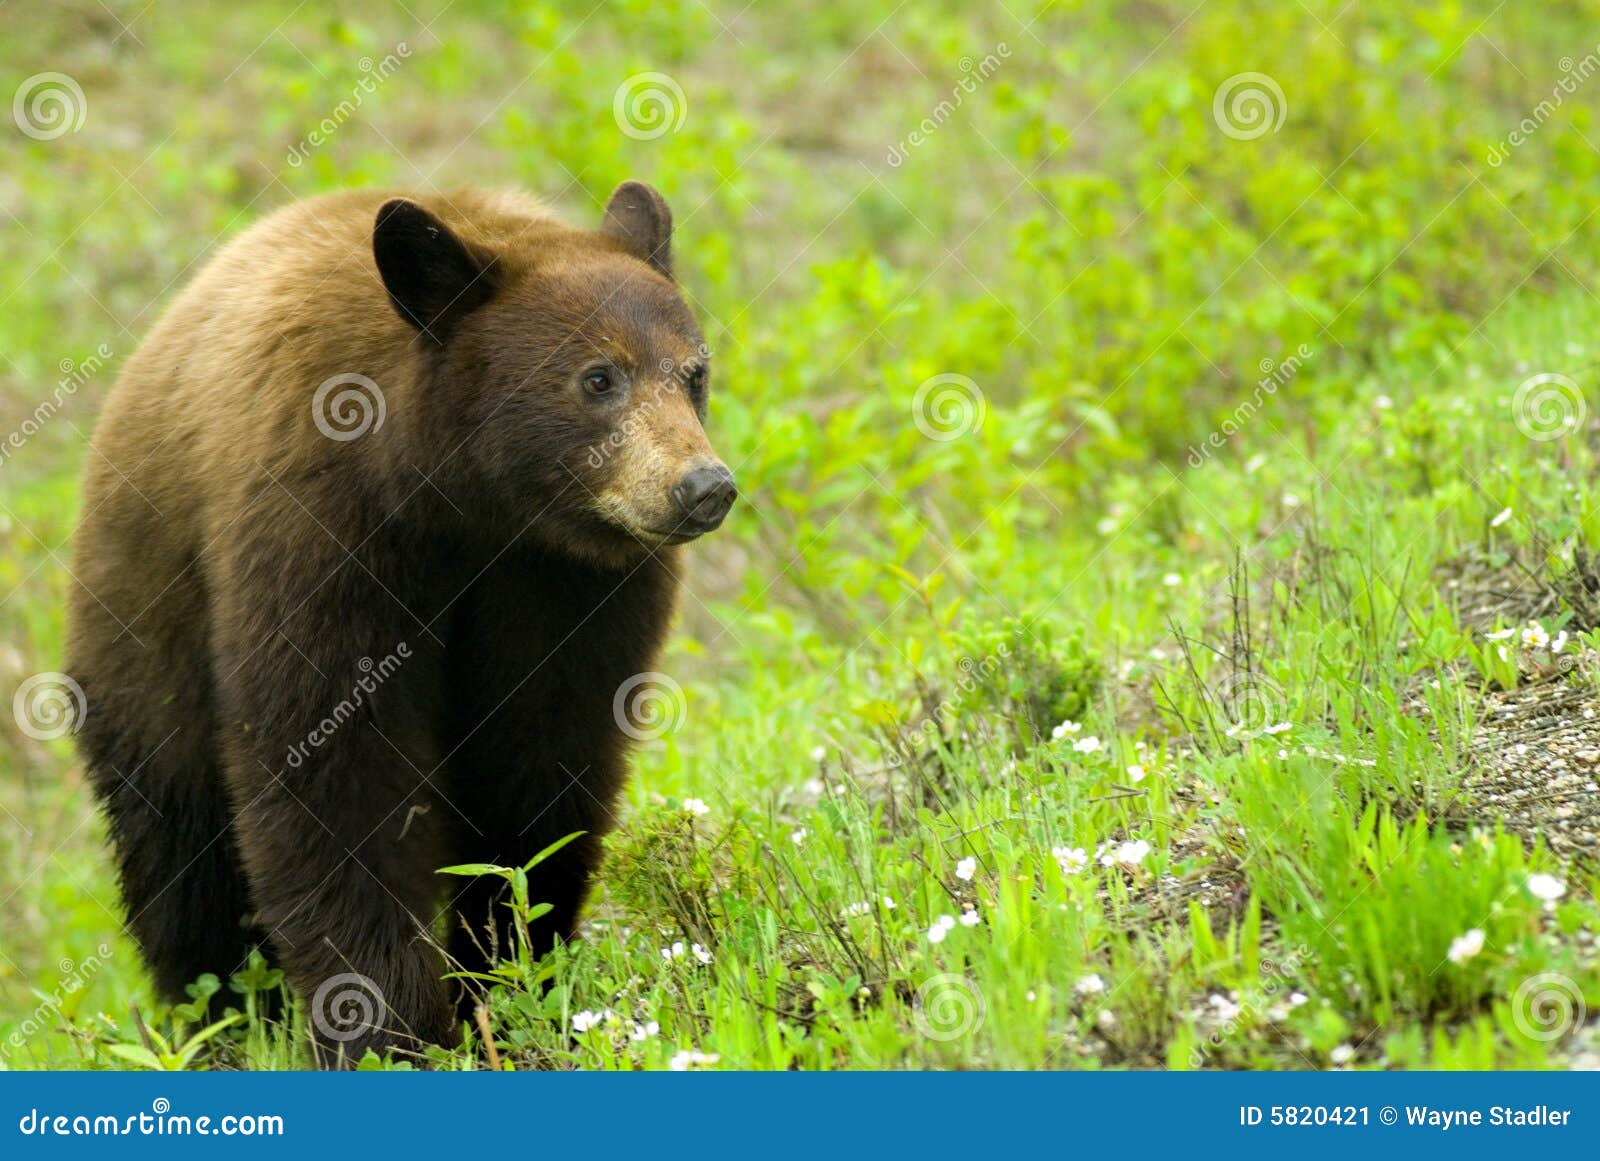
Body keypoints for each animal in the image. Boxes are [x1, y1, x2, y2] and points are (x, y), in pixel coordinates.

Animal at [65, 181, 736, 1066]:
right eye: (599, 377)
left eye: (694, 372)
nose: (704, 486)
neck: (468, 502)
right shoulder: (322, 532)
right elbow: (334, 777)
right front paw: (393, 1029)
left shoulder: (570, 585)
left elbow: (542, 765)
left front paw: (513, 986)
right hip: (146, 636)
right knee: (179, 849)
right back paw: (221, 1022)